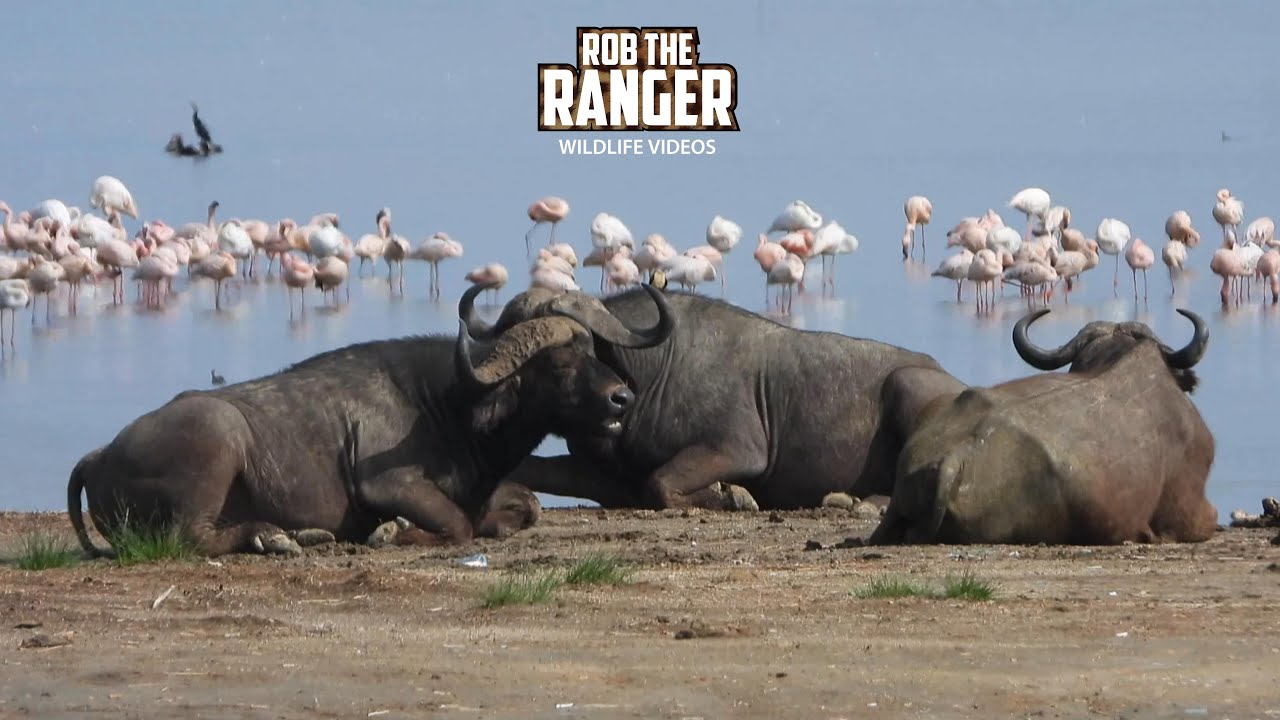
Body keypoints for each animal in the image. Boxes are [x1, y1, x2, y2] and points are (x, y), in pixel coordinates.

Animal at [67, 283, 674, 557]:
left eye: (593, 350)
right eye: (557, 364)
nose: (621, 399)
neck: (449, 406)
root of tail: (100, 454)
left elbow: (524, 506)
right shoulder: (389, 484)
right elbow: (455, 524)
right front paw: (389, 531)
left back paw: (302, 535)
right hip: (220, 438)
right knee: (191, 535)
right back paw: (271, 538)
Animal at [465, 286, 967, 510]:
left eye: (578, 342)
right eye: (516, 334)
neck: (648, 377)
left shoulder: (737, 450)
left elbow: (661, 483)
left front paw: (733, 496)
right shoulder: (600, 477)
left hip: (907, 384)